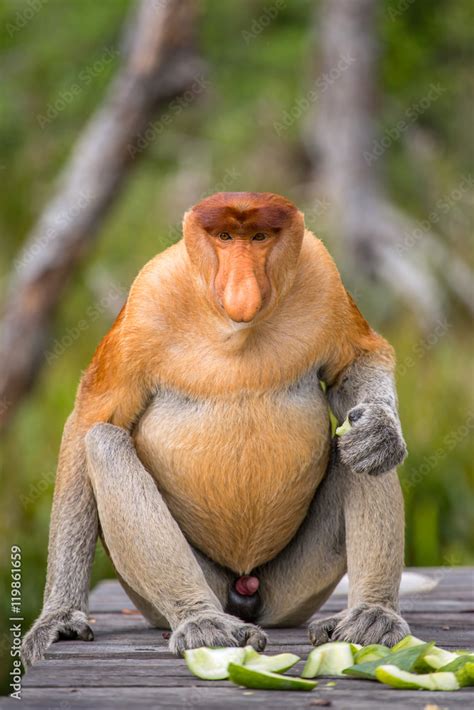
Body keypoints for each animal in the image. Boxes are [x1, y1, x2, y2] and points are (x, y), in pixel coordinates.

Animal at [21, 191, 409, 667]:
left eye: (259, 237)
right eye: (225, 237)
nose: (242, 287)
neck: (234, 330)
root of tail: (244, 588)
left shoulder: (323, 275)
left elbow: (356, 362)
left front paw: (381, 433)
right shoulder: (146, 300)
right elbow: (89, 422)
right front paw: (58, 619)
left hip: (295, 587)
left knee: (357, 453)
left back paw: (373, 615)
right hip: (171, 590)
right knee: (104, 442)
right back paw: (203, 622)